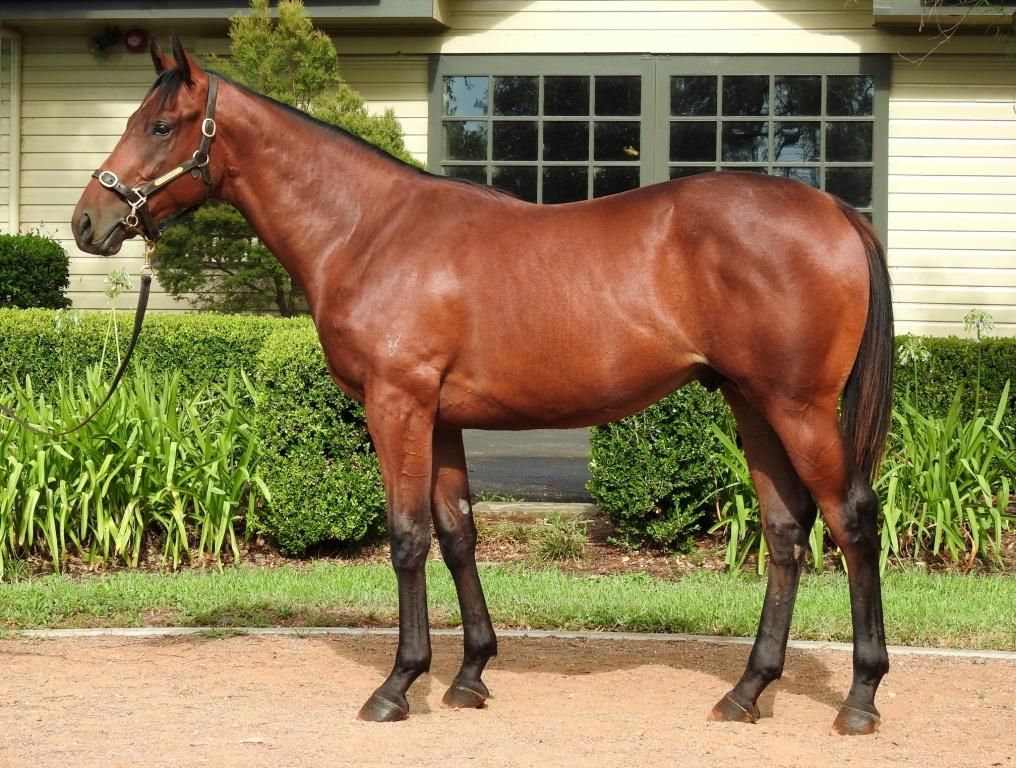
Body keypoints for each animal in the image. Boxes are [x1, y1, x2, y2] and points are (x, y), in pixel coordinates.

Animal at [72, 36, 894, 736]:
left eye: (162, 125)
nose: (88, 220)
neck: (369, 230)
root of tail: (834, 210)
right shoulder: (440, 418)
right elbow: (458, 532)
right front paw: (469, 675)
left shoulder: (397, 405)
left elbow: (407, 537)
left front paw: (398, 685)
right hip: (752, 403)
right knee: (786, 530)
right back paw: (747, 691)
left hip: (799, 408)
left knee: (852, 520)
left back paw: (859, 697)